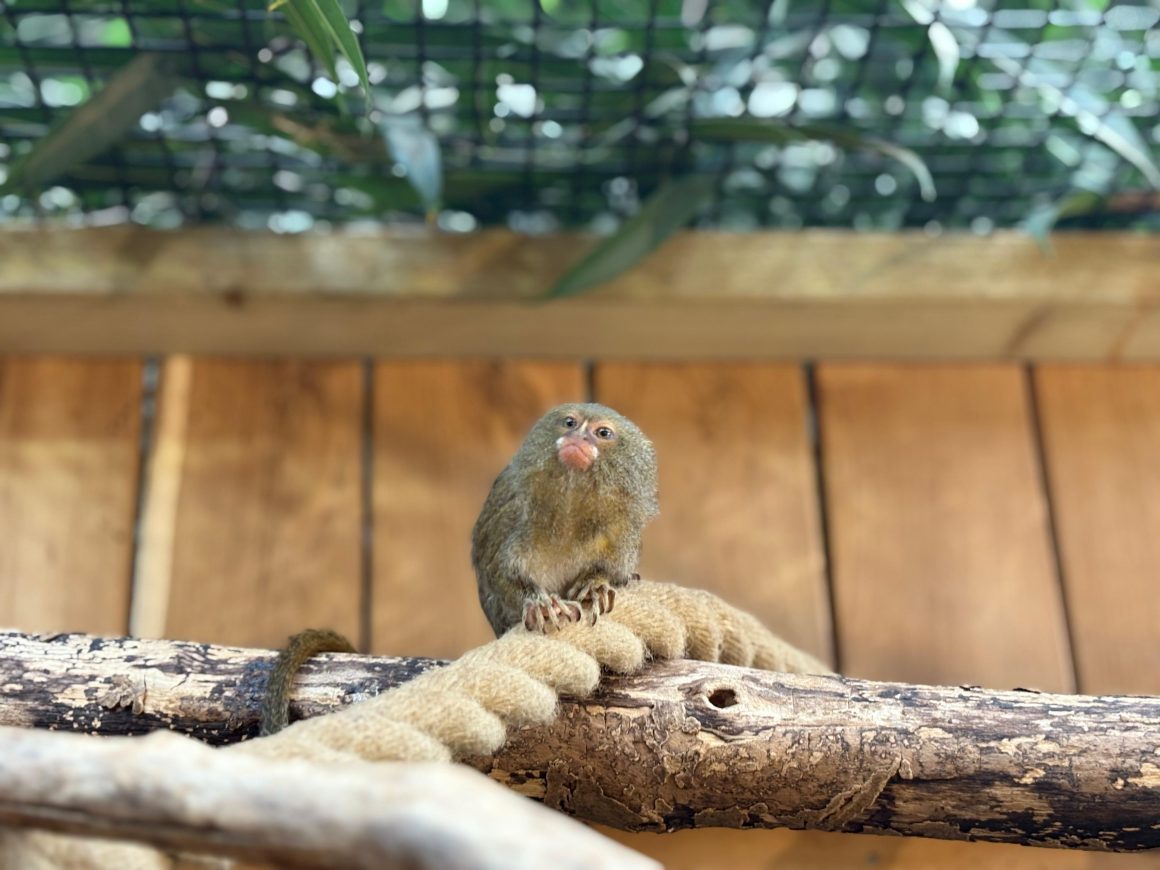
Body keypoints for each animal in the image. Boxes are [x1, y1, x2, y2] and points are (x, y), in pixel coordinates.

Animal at [472, 402, 659, 636]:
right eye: (570, 423)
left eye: (603, 433)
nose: (578, 437)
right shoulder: (511, 510)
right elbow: (498, 573)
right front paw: (540, 605)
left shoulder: (624, 528)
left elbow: (613, 571)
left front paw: (595, 586)